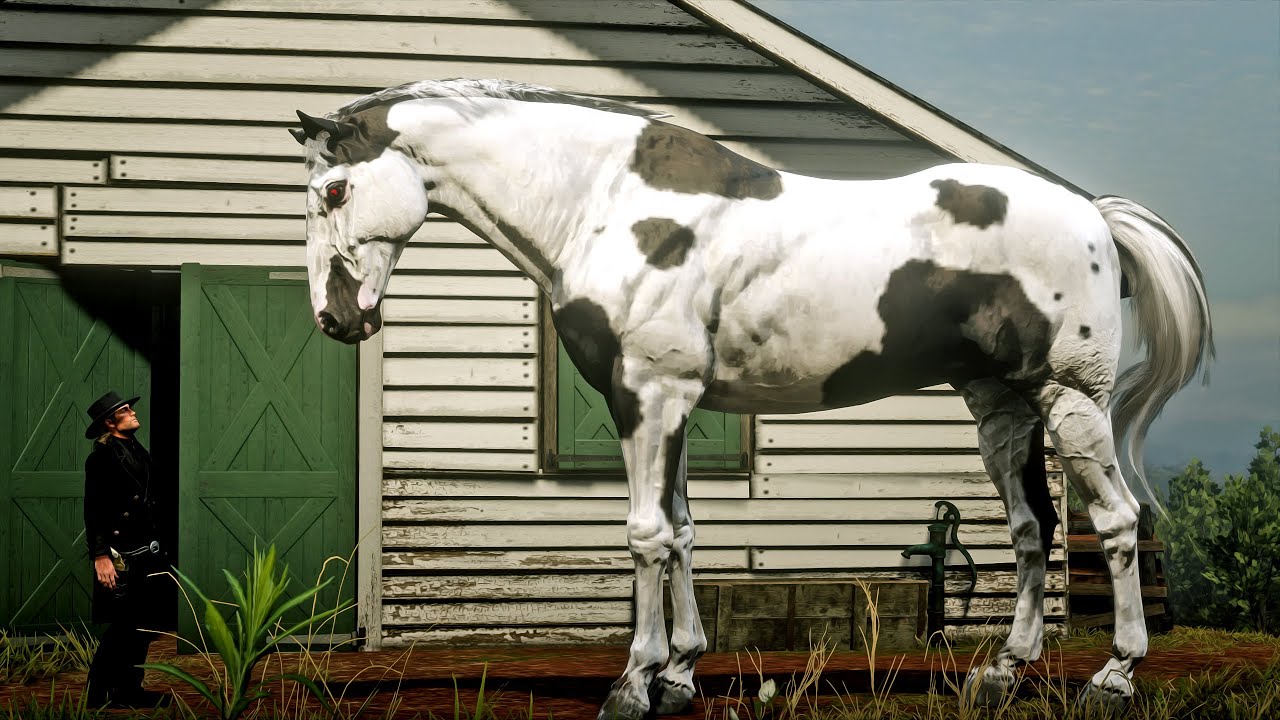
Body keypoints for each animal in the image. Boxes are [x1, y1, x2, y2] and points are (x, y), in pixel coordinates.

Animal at [289, 79, 1212, 718]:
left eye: (333, 192)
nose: (337, 319)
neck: (604, 202)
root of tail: (1093, 215)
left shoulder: (648, 394)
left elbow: (646, 536)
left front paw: (633, 684)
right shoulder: (668, 401)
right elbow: (683, 533)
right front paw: (681, 675)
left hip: (1071, 399)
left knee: (1117, 522)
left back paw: (1114, 678)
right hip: (1003, 409)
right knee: (1030, 530)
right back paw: (1001, 673)